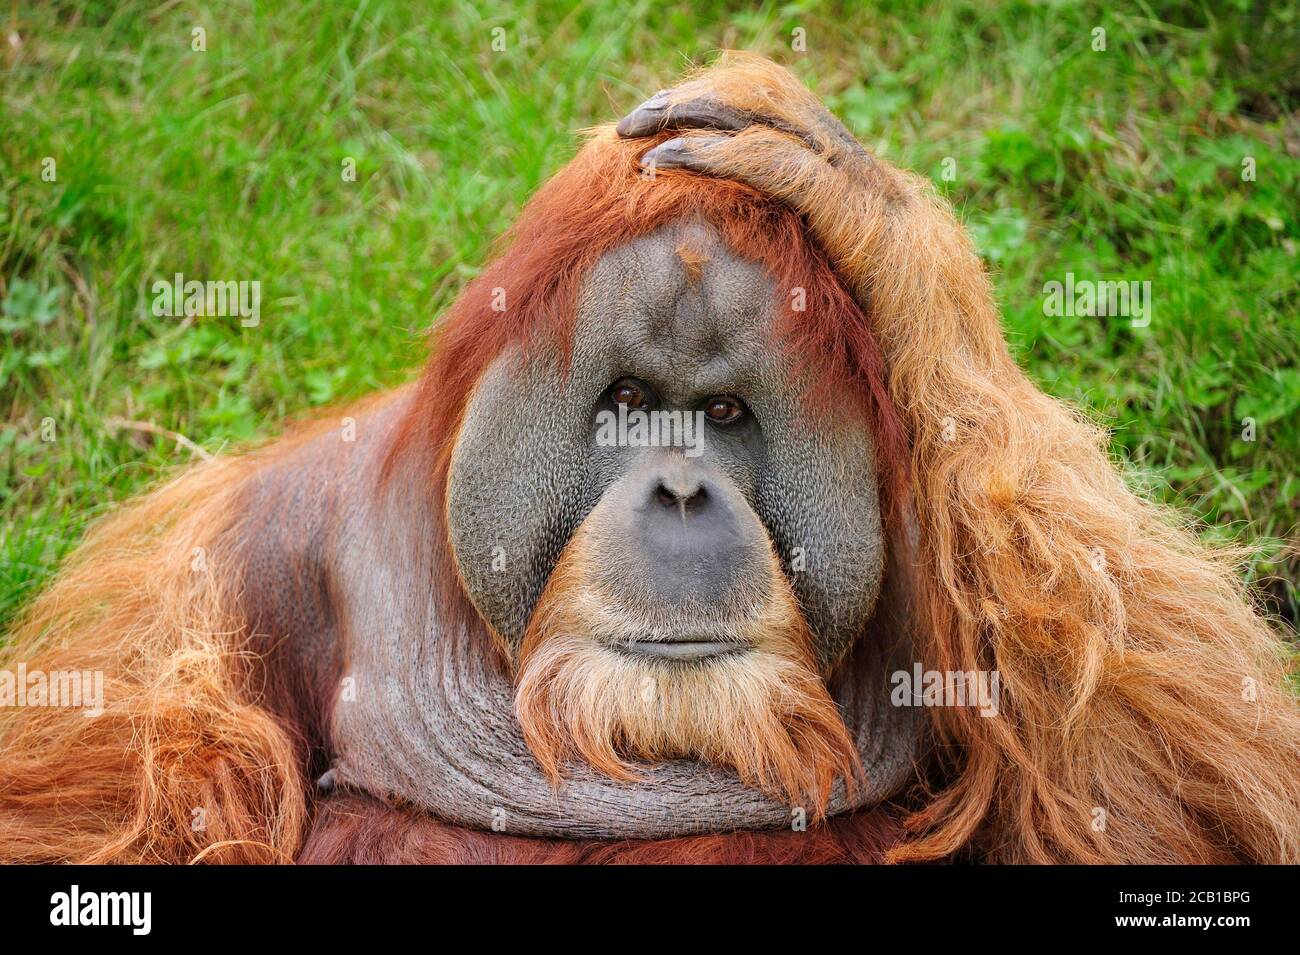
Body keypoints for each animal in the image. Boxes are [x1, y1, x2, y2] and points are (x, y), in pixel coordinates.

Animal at [1, 53, 1297, 864]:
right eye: (626, 402)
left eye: (721, 413)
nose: (679, 486)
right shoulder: (236, 555)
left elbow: (1148, 810)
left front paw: (853, 196)